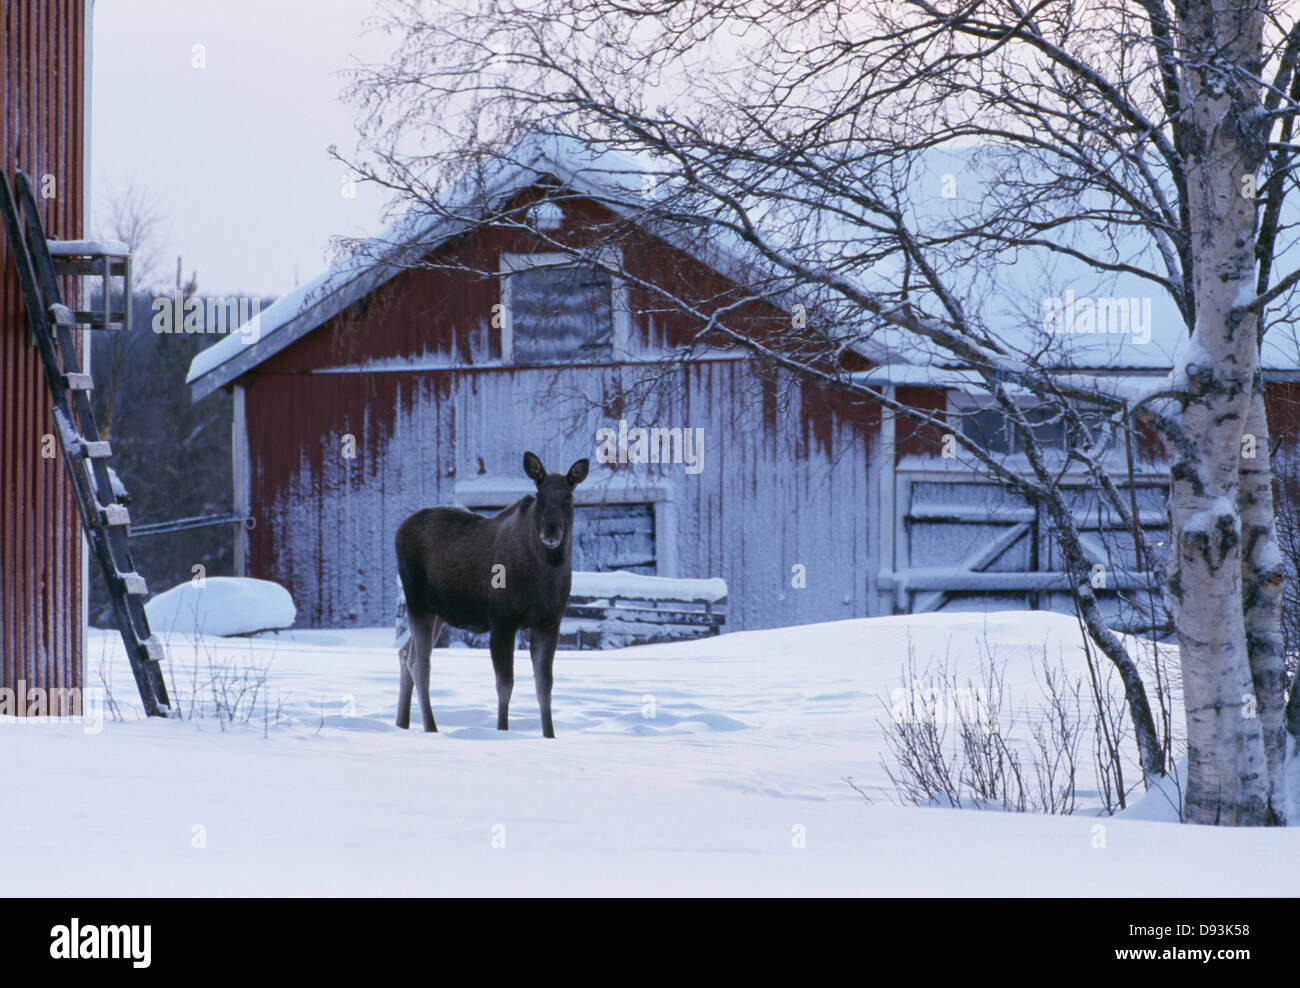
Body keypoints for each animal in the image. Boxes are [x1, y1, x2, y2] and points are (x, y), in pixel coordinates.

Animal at [394, 452, 589, 738]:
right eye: (540, 494)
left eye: (569, 497)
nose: (551, 532)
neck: (544, 576)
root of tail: (398, 530)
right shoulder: (502, 620)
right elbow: (505, 684)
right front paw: (502, 730)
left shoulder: (549, 623)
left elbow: (544, 686)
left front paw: (549, 735)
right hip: (418, 603)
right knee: (420, 664)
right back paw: (430, 727)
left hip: (438, 613)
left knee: (406, 654)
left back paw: (402, 722)